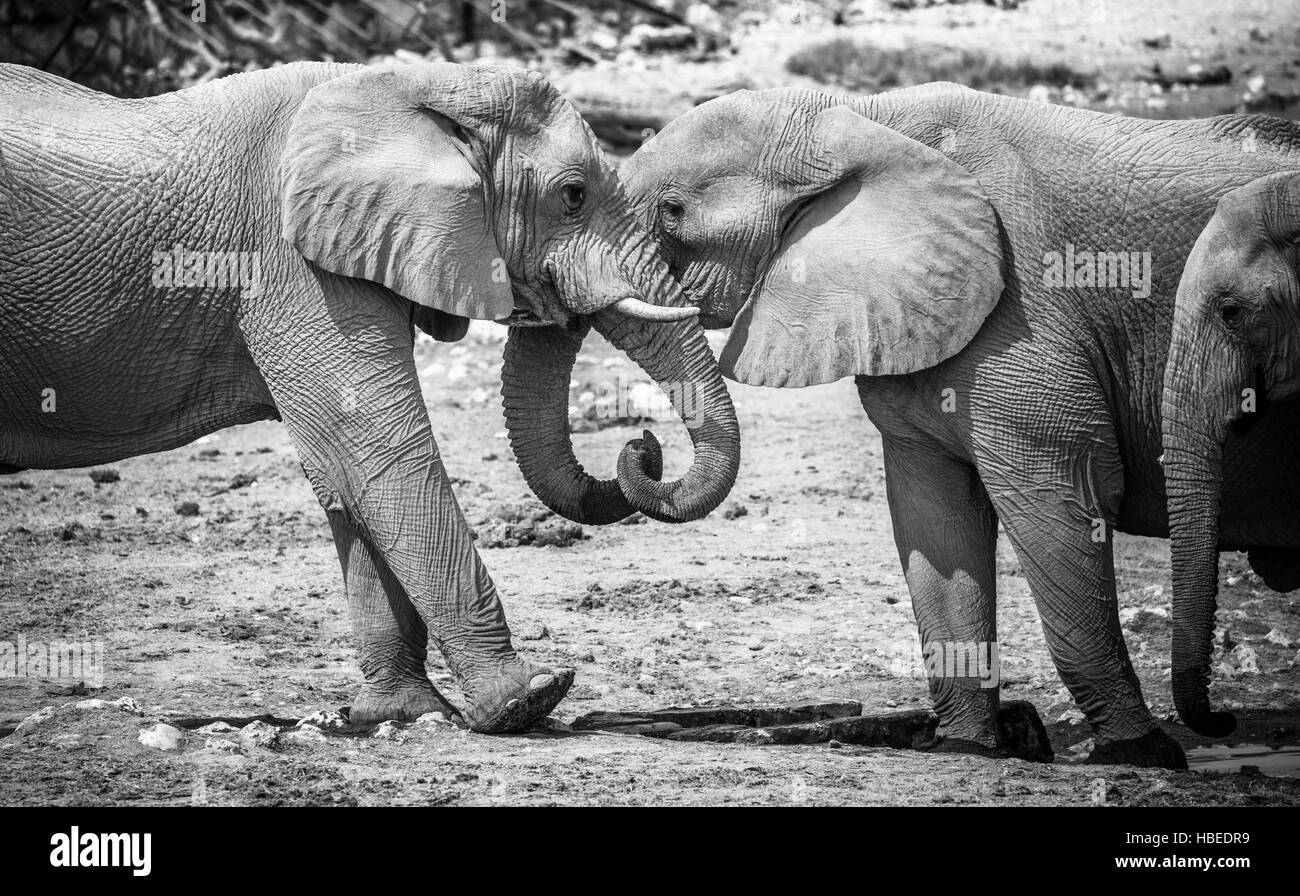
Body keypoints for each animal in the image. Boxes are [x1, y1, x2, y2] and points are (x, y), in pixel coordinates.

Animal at [0, 62, 740, 733]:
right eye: (574, 195)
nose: (642, 445)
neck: (414, 84)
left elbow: (342, 477)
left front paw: (404, 713)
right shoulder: (290, 264)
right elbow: (380, 456)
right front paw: (530, 699)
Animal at [622, 84, 1300, 767]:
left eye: (674, 212)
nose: (643, 446)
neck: (864, 120)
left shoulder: (1026, 308)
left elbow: (1058, 505)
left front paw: (1140, 754)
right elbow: (936, 521)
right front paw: (963, 750)